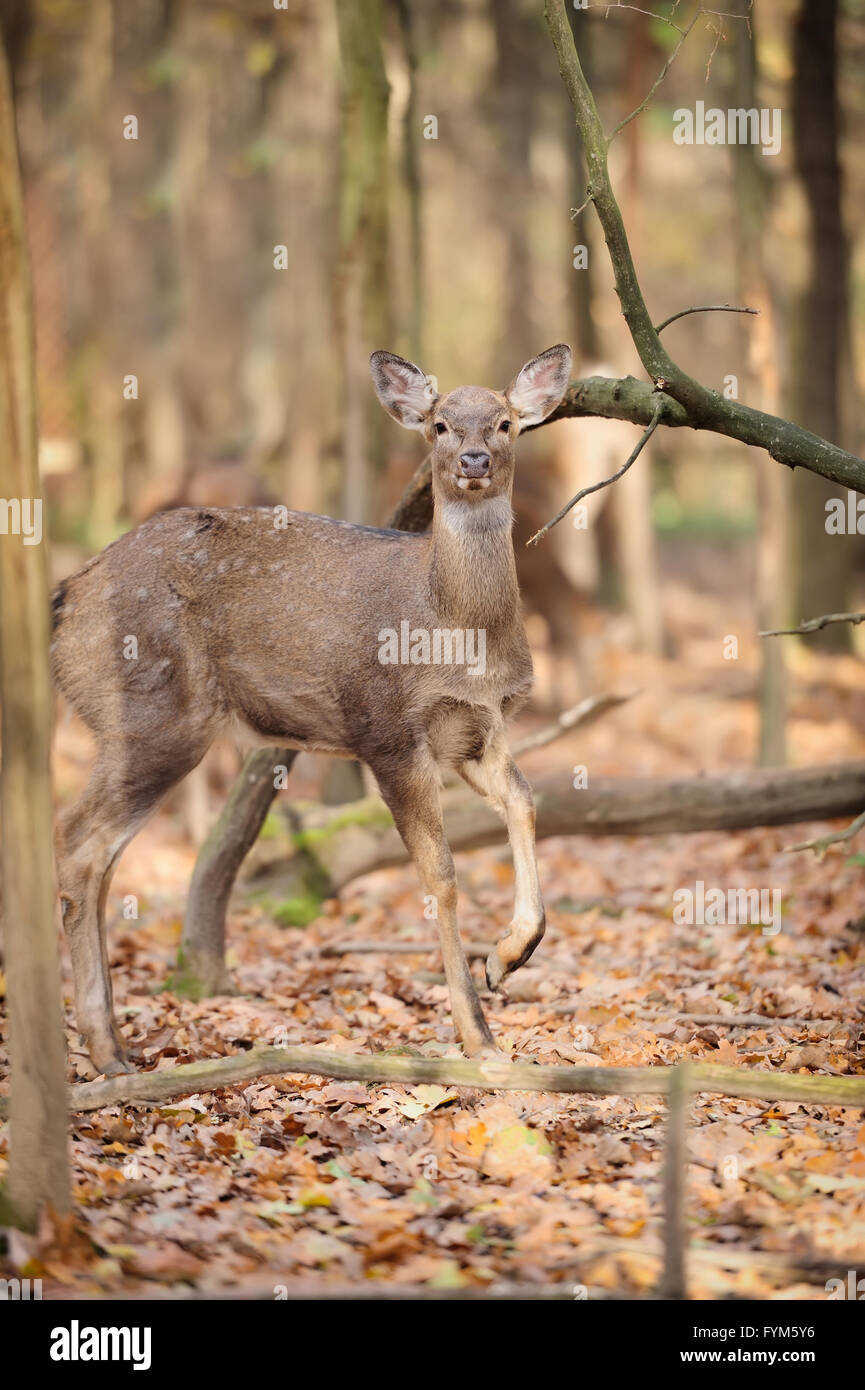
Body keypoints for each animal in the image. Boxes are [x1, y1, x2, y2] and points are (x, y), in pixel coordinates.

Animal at [51, 344, 573, 1076]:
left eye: (504, 423)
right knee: (76, 839)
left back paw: (116, 1046)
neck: (458, 630)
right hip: (153, 713)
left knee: (101, 855)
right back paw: (105, 1052)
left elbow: (526, 803)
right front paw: (478, 1036)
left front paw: (507, 957)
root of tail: (65, 603)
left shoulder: (474, 732)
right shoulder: (386, 729)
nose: (473, 460)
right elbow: (439, 874)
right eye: (439, 425)